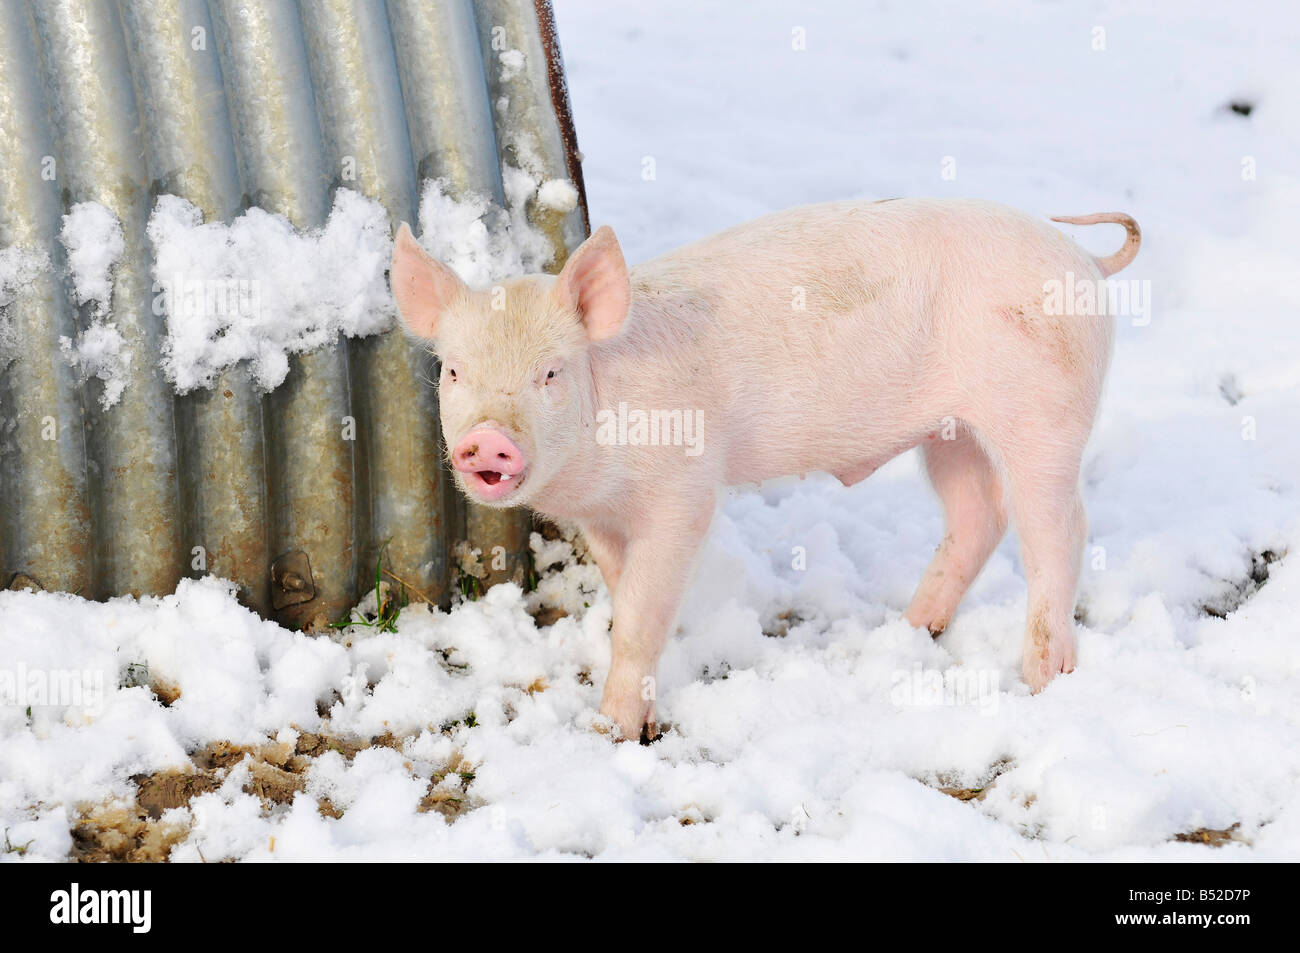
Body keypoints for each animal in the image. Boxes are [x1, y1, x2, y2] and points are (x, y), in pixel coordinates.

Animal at [390, 198, 1141, 740]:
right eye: (452, 371)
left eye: (551, 372)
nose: (488, 440)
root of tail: (1089, 261)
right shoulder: (600, 518)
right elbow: (622, 593)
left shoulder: (684, 492)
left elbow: (639, 616)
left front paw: (613, 732)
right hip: (950, 432)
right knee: (978, 514)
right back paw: (909, 630)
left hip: (1045, 413)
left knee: (1058, 529)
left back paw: (1042, 676)